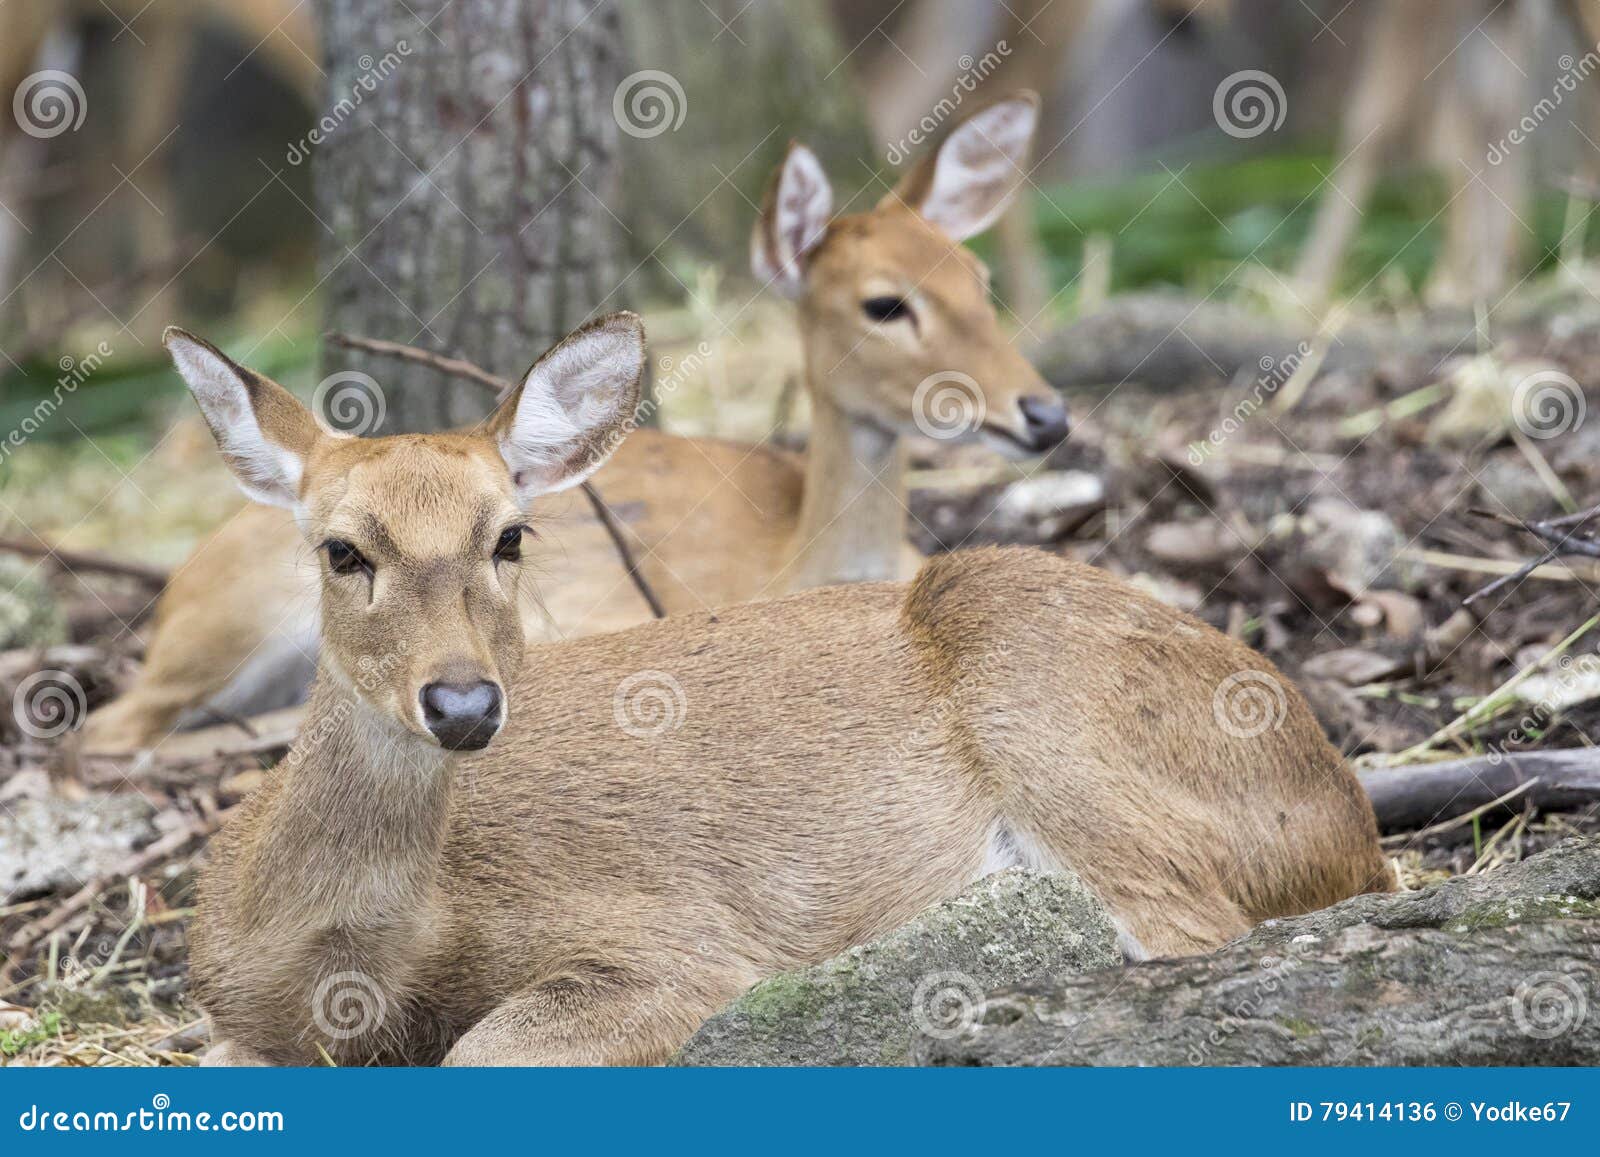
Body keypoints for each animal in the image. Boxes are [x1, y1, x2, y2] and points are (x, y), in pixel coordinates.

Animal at [83, 93, 1073, 753]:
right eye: (884, 304)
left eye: (978, 280)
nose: (1046, 412)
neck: (794, 556)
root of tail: (177, 583)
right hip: (227, 625)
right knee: (108, 731)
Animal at [168, 315, 1394, 1067]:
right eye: (341, 549)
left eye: (509, 535)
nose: (465, 704)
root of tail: (1349, 810)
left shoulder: (677, 942)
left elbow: (486, 1047)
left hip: (1054, 717)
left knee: (1190, 928)